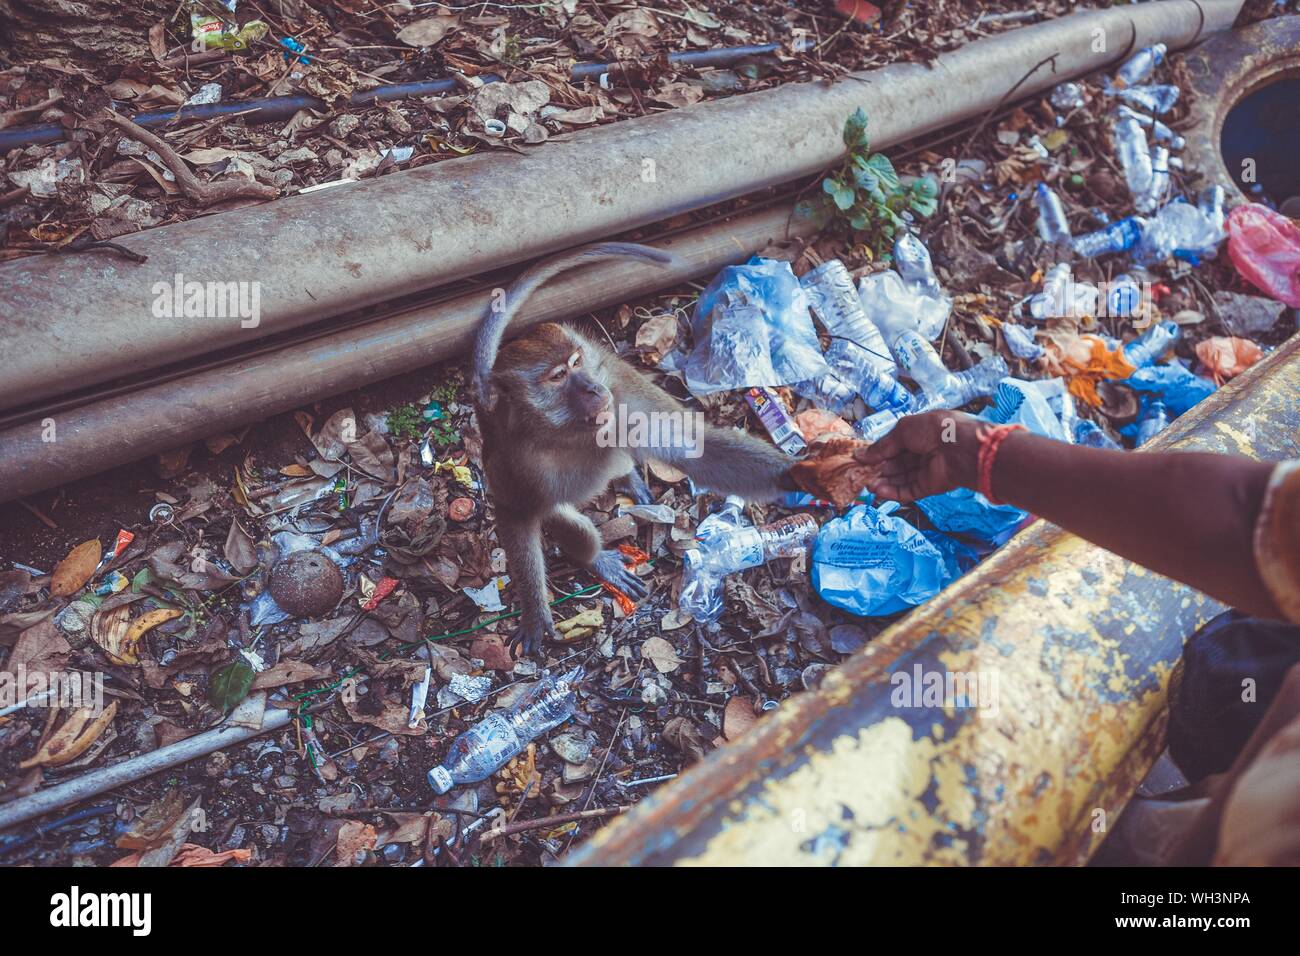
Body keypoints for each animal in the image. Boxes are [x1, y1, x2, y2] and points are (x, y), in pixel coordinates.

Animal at [473, 241, 798, 657]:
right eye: (558, 376)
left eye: (577, 362)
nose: (593, 388)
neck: (567, 434)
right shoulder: (514, 459)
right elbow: (515, 513)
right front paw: (534, 611)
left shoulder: (622, 393)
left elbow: (696, 448)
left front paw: (806, 474)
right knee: (562, 516)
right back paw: (596, 557)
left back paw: (626, 476)